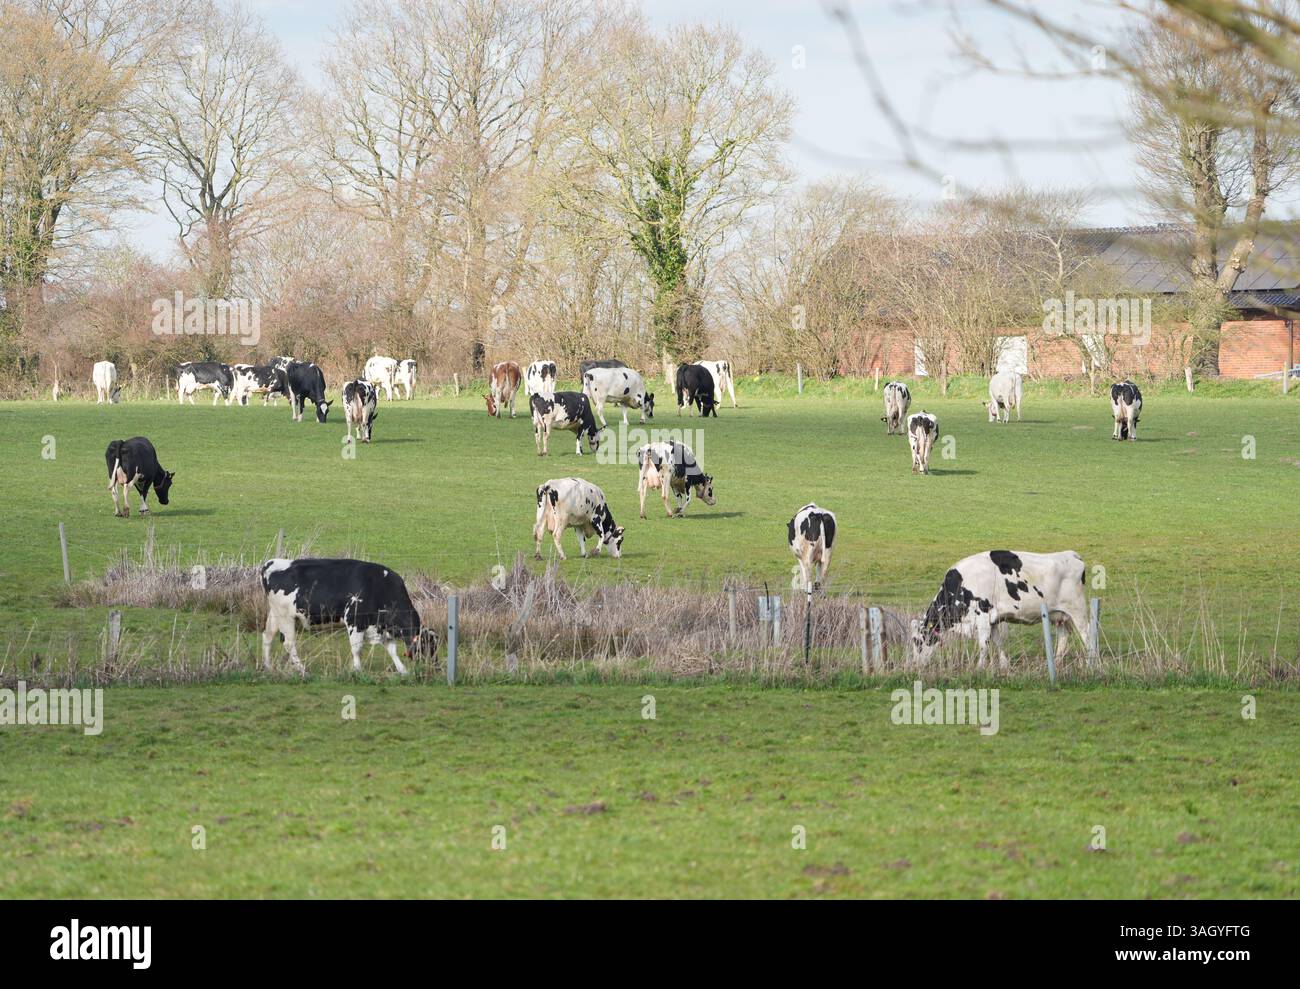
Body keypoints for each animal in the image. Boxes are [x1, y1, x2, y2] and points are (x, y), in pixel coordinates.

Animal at [260, 558, 439, 675]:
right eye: (427, 646)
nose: (436, 668)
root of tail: (270, 563)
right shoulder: (355, 621)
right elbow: (356, 648)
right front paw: (357, 670)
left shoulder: (380, 627)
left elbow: (392, 650)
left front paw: (402, 670)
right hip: (285, 616)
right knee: (289, 643)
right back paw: (303, 670)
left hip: (275, 614)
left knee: (267, 636)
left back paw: (267, 666)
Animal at [910, 550, 1088, 671]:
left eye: (917, 642)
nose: (914, 665)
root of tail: (1071, 554)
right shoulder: (993, 620)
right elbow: (998, 642)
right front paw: (1004, 665)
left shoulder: (982, 616)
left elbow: (983, 645)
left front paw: (979, 668)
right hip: (1059, 615)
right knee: (1063, 636)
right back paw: (1056, 662)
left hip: (1077, 610)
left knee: (1086, 635)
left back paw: (1090, 662)